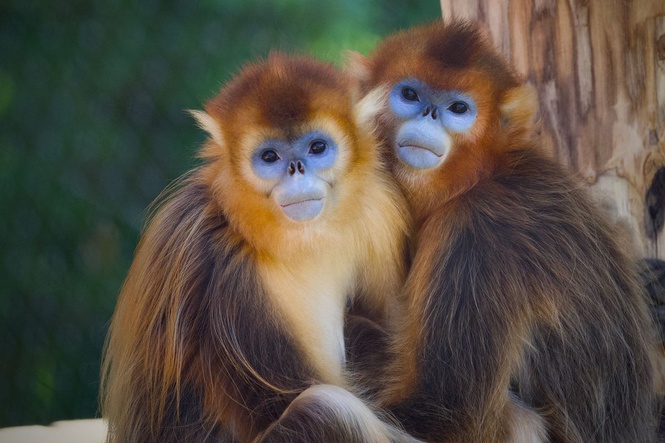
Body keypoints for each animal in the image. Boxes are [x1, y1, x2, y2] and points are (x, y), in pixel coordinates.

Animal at [100, 53, 418, 442]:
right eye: (269, 157)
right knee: (325, 408)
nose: (296, 169)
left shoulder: (378, 207)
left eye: (317, 148)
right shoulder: (217, 258)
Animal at [346, 20, 659, 442]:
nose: (429, 113)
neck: (483, 177)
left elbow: (444, 415)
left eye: (458, 109)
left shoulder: (478, 235)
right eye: (410, 94)